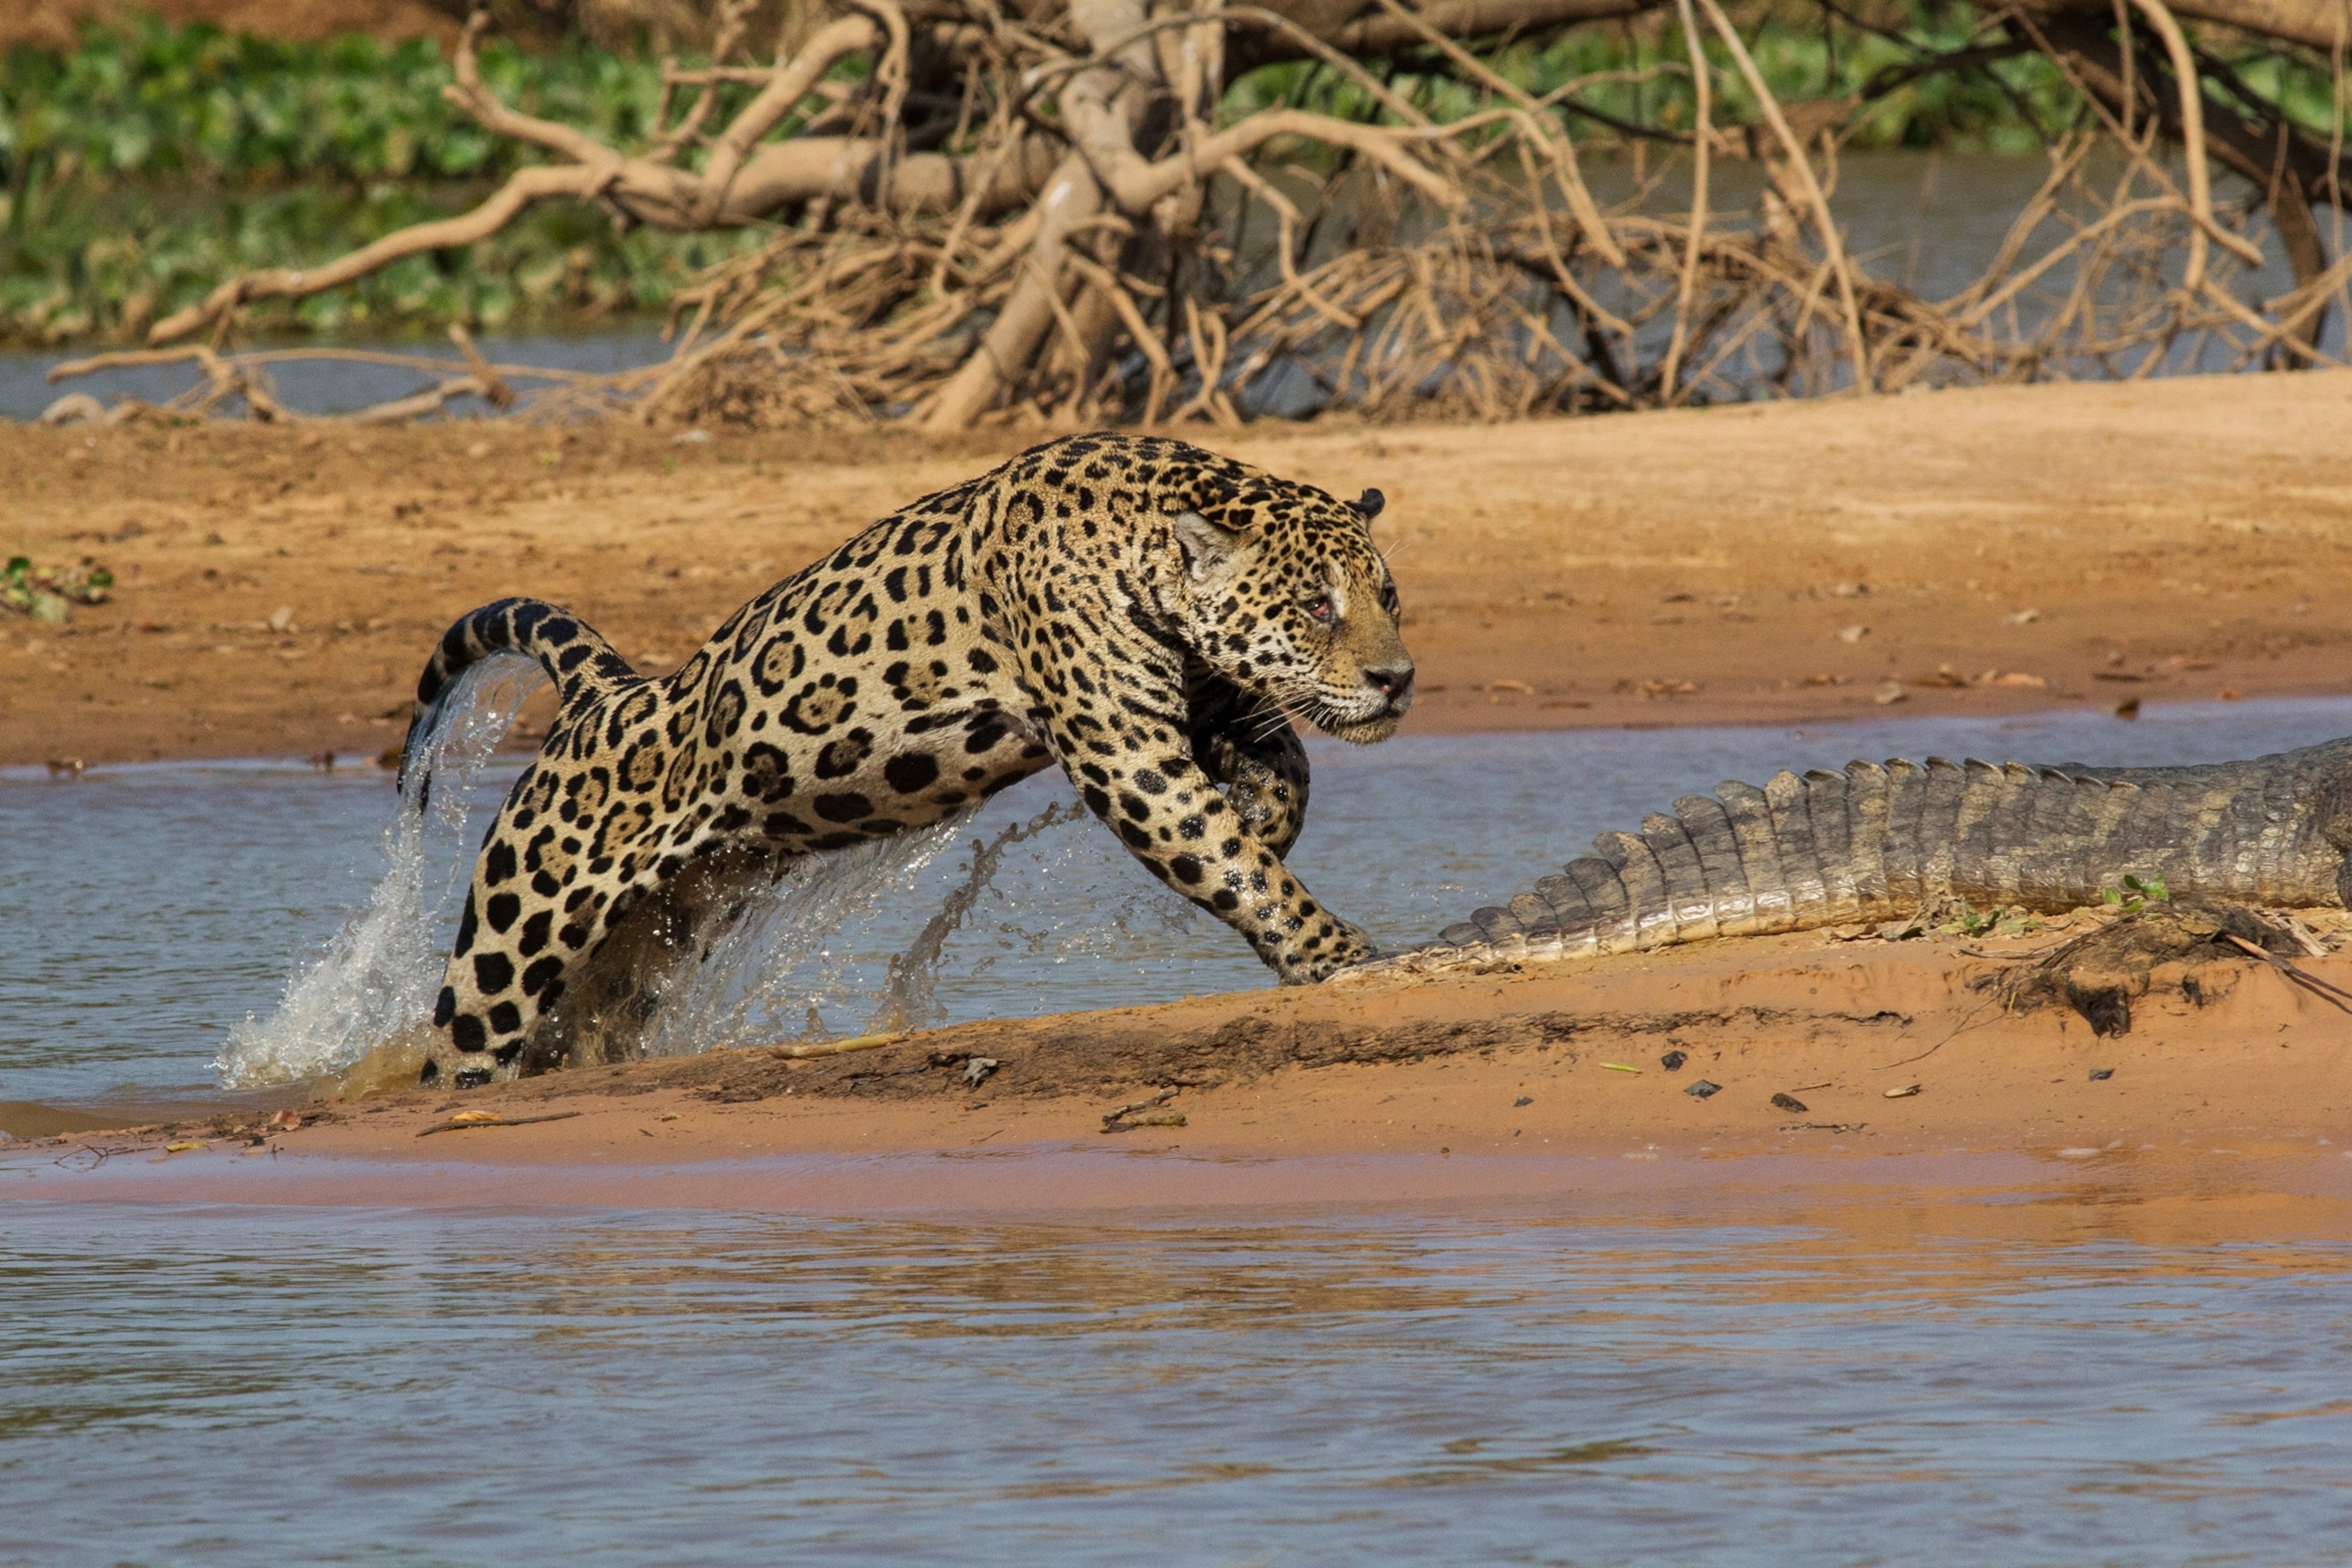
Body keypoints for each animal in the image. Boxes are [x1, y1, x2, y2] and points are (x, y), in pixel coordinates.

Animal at [397, 432, 1414, 1088]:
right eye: (1315, 606)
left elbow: (1286, 770)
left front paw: (1266, 814)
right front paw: (1343, 954)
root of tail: (609, 695)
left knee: (585, 1020)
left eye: (1388, 596)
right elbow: (1235, 862)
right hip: (515, 930)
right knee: (464, 1037)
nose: (1399, 678)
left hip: (659, 933)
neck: (1141, 538)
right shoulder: (1126, 750)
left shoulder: (1203, 702)